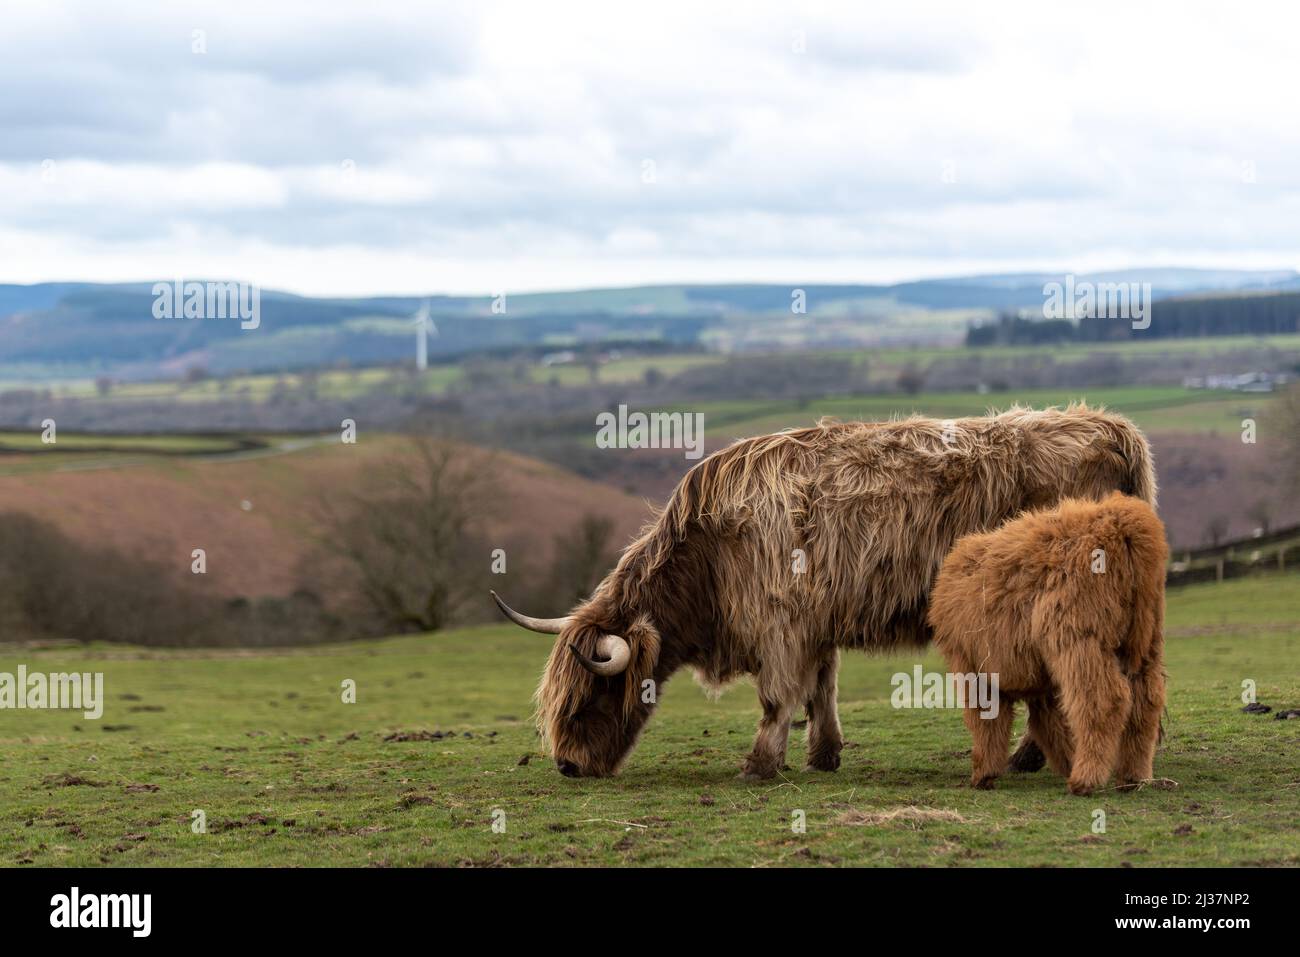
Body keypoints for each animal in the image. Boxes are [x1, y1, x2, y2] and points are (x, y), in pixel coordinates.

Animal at [928, 492, 1168, 795]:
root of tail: (1121, 522)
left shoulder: (973, 667)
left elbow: (987, 720)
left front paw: (984, 774)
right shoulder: (1038, 677)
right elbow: (1051, 724)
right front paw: (1066, 761)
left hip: (1079, 639)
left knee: (1103, 700)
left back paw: (1084, 780)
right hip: (1144, 641)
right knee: (1145, 700)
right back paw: (1131, 777)